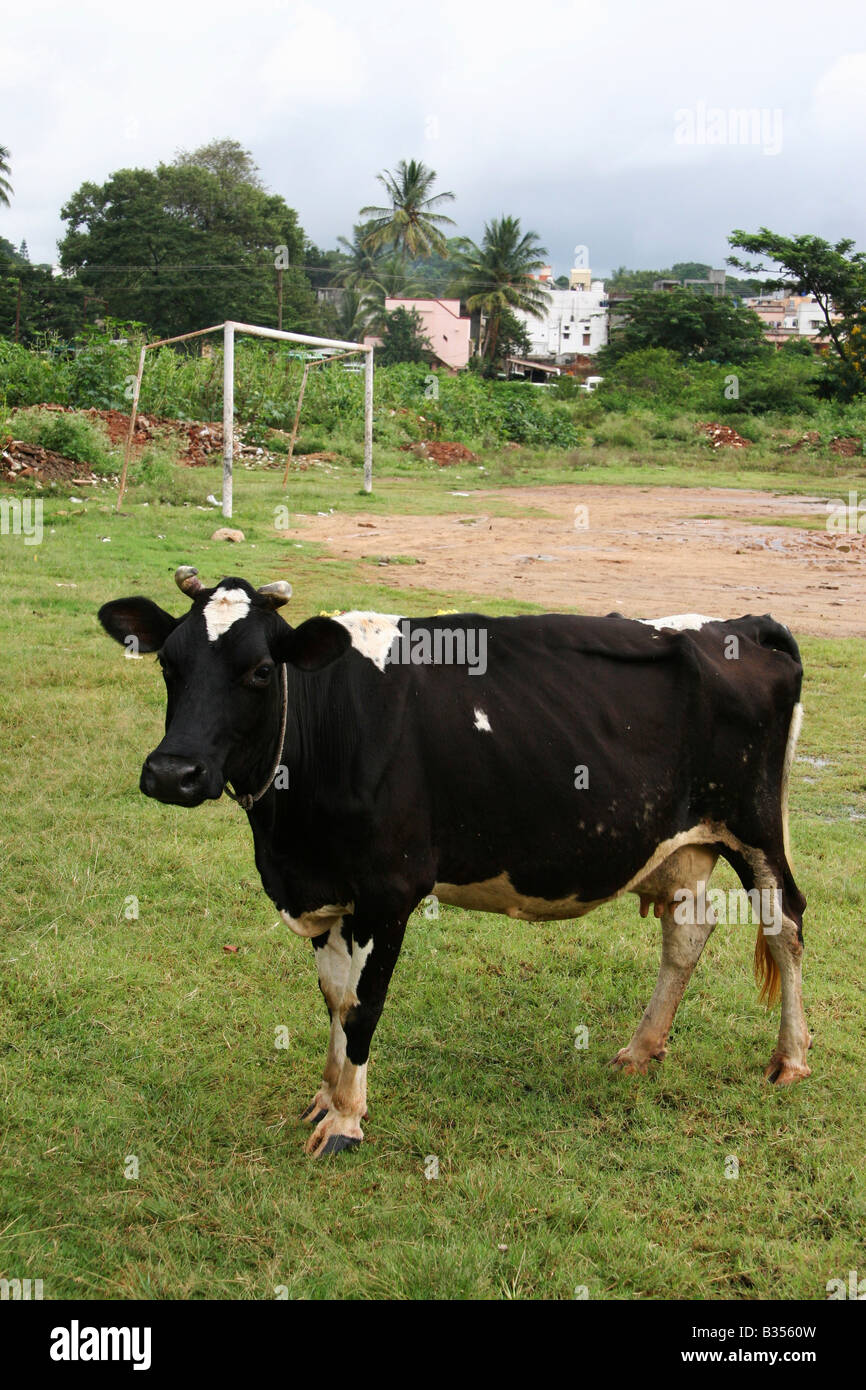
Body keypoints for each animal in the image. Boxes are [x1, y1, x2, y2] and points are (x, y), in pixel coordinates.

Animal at [98, 568, 811, 1156]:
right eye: (169, 666)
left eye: (259, 672)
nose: (173, 773)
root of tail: (743, 625)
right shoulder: (327, 888)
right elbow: (333, 998)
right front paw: (326, 1099)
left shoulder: (389, 889)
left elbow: (363, 1004)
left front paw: (347, 1122)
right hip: (685, 842)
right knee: (687, 933)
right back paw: (640, 1049)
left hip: (754, 828)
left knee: (786, 924)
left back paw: (791, 1060)